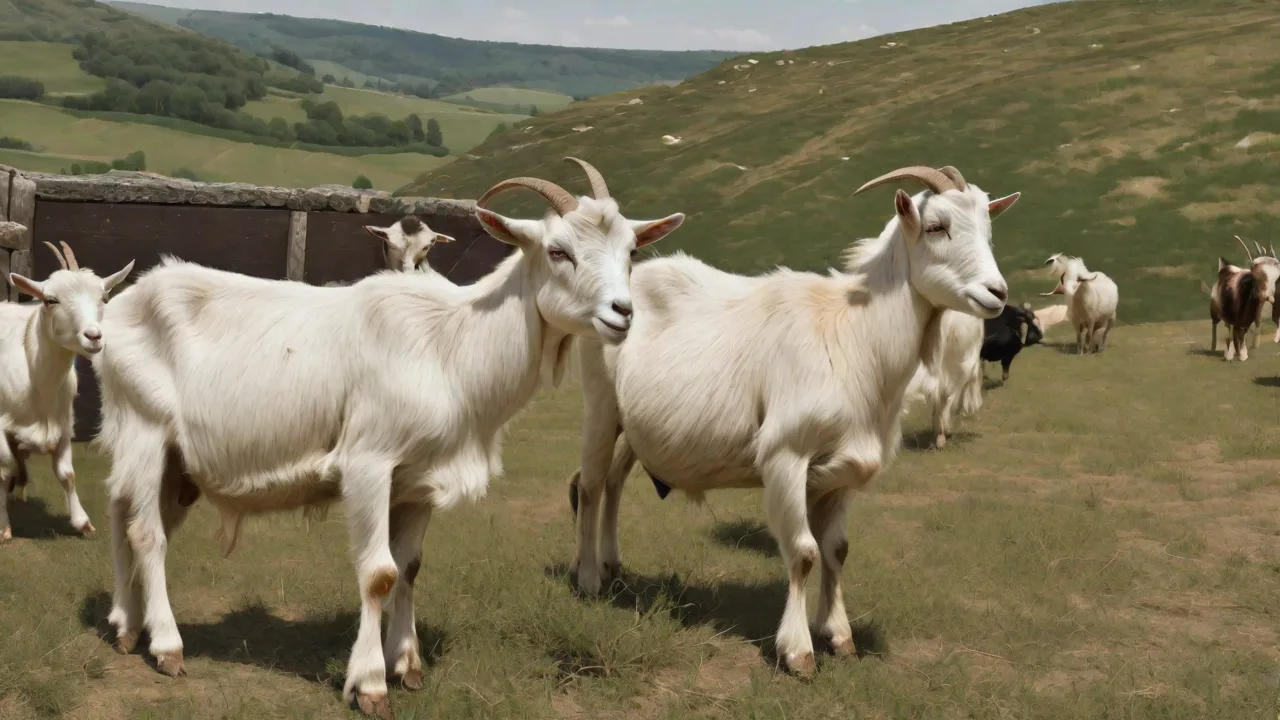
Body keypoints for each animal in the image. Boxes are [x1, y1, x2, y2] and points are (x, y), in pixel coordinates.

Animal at [0, 241, 134, 542]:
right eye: (51, 300)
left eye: (104, 298)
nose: (94, 336)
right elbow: (3, 470)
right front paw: (3, 526)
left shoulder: (62, 423)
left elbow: (66, 474)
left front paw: (82, 522)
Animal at [90, 159, 685, 718]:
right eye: (559, 251)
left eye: (631, 251)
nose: (623, 313)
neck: (450, 348)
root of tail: (117, 307)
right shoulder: (369, 463)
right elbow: (379, 573)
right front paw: (371, 684)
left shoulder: (421, 479)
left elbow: (410, 567)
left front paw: (408, 663)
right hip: (144, 426)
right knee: (147, 532)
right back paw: (167, 646)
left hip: (177, 462)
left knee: (124, 512)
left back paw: (125, 625)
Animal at [567, 165, 1018, 677]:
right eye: (937, 226)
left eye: (988, 227)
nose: (997, 293)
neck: (856, 337)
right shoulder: (786, 456)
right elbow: (803, 553)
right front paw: (798, 651)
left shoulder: (841, 471)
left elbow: (837, 550)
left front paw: (839, 636)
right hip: (601, 405)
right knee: (590, 485)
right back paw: (588, 579)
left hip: (636, 425)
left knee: (614, 482)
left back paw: (612, 566)